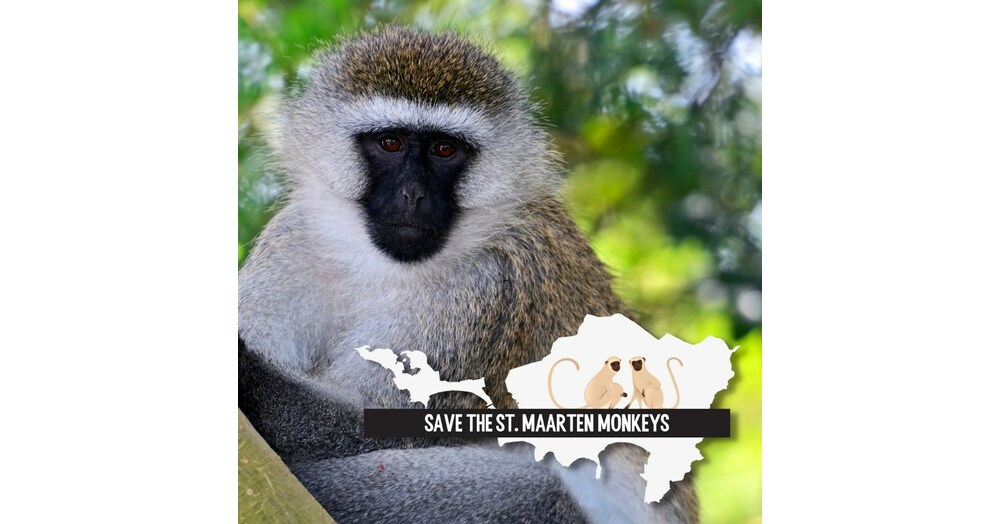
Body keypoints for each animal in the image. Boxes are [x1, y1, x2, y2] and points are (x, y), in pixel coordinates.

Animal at [238, 27, 697, 523]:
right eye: (390, 143)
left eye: (444, 149)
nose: (412, 195)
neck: (381, 265)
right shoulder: (292, 241)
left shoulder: (485, 288)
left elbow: (375, 424)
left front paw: (245, 370)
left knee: (538, 494)